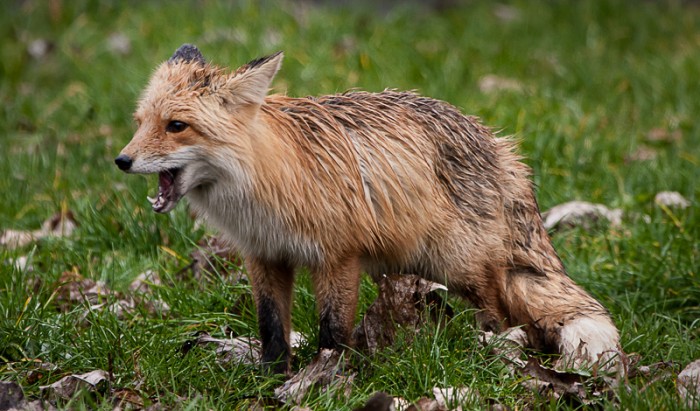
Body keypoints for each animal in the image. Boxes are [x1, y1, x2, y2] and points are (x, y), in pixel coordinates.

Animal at [116, 44, 620, 374]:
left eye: (176, 126)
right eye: (140, 123)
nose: (122, 160)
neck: (265, 187)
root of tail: (500, 144)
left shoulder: (338, 257)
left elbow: (333, 331)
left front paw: (328, 379)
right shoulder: (265, 257)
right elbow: (272, 329)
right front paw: (273, 381)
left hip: (457, 263)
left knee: (502, 309)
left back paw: (493, 349)